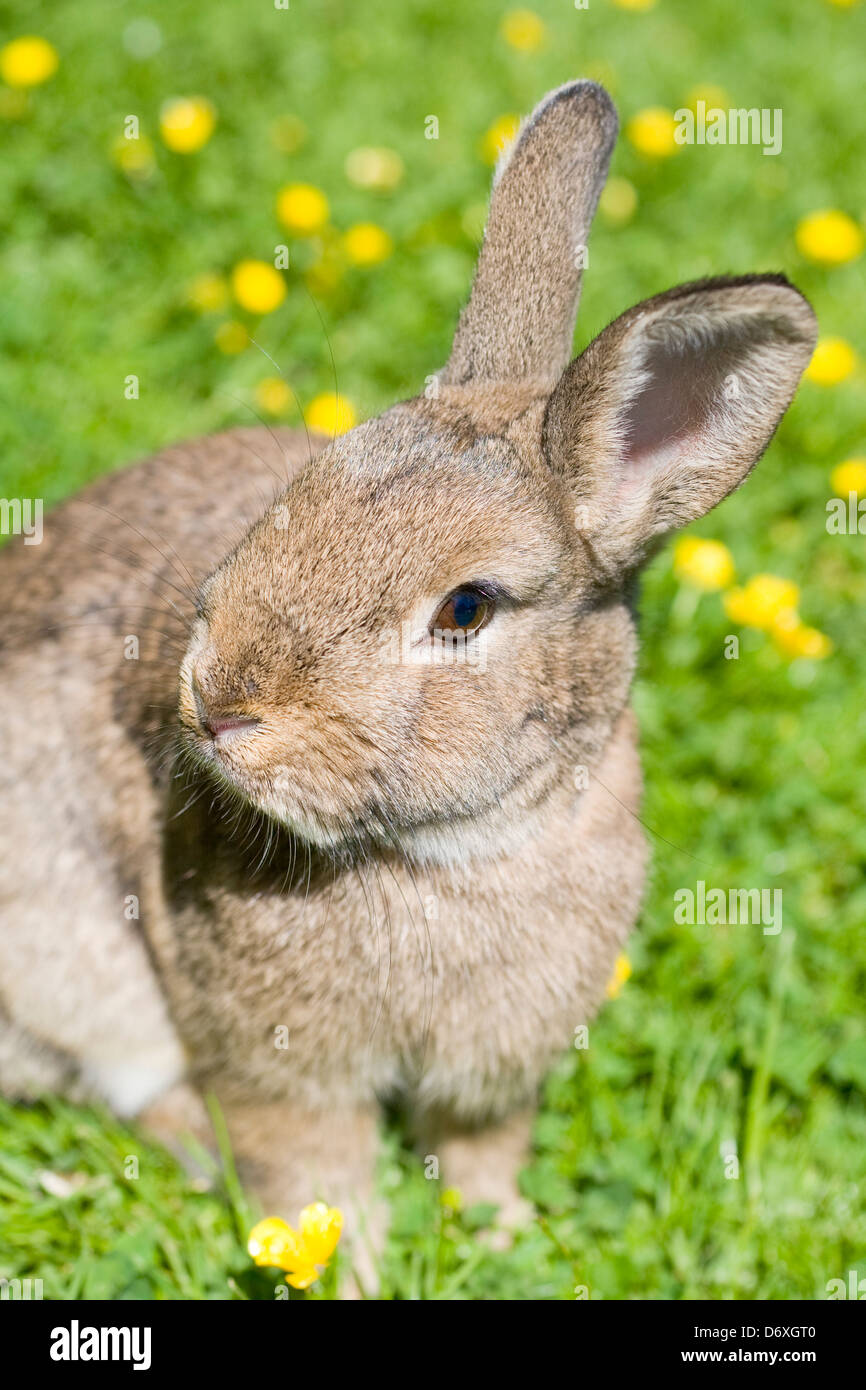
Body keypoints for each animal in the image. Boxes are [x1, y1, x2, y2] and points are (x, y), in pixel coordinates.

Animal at [0, 80, 816, 1249]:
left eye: (466, 609)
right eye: (299, 488)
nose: (218, 705)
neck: (453, 854)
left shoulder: (493, 1075)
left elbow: (475, 1152)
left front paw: (500, 1234)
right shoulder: (279, 1067)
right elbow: (313, 1166)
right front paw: (350, 1261)